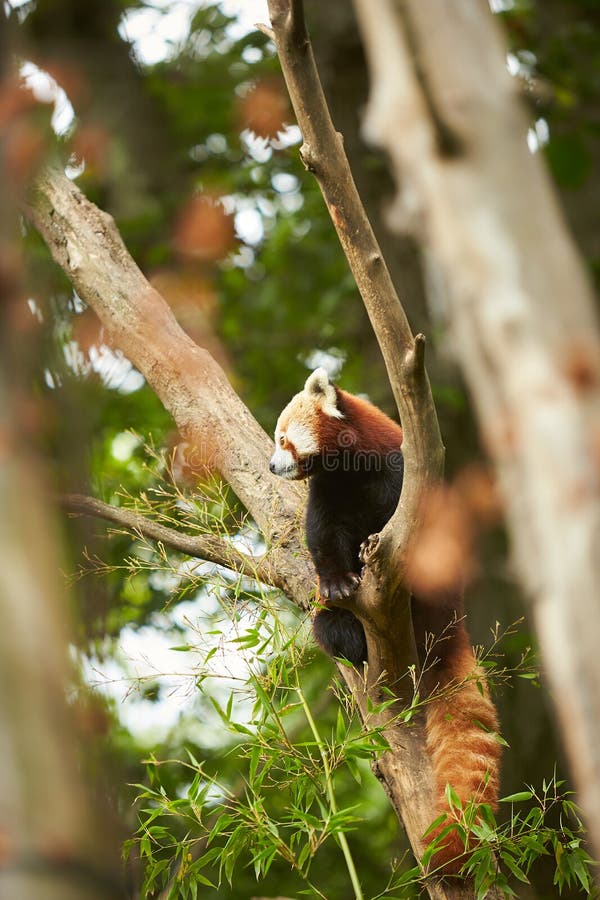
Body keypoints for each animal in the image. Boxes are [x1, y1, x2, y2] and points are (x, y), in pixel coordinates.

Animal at [270, 367, 501, 873]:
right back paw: (352, 639)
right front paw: (339, 581)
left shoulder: (400, 479)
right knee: (328, 626)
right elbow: (323, 540)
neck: (351, 471)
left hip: (439, 604)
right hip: (336, 624)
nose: (272, 467)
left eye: (283, 439)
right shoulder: (328, 497)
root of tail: (449, 628)